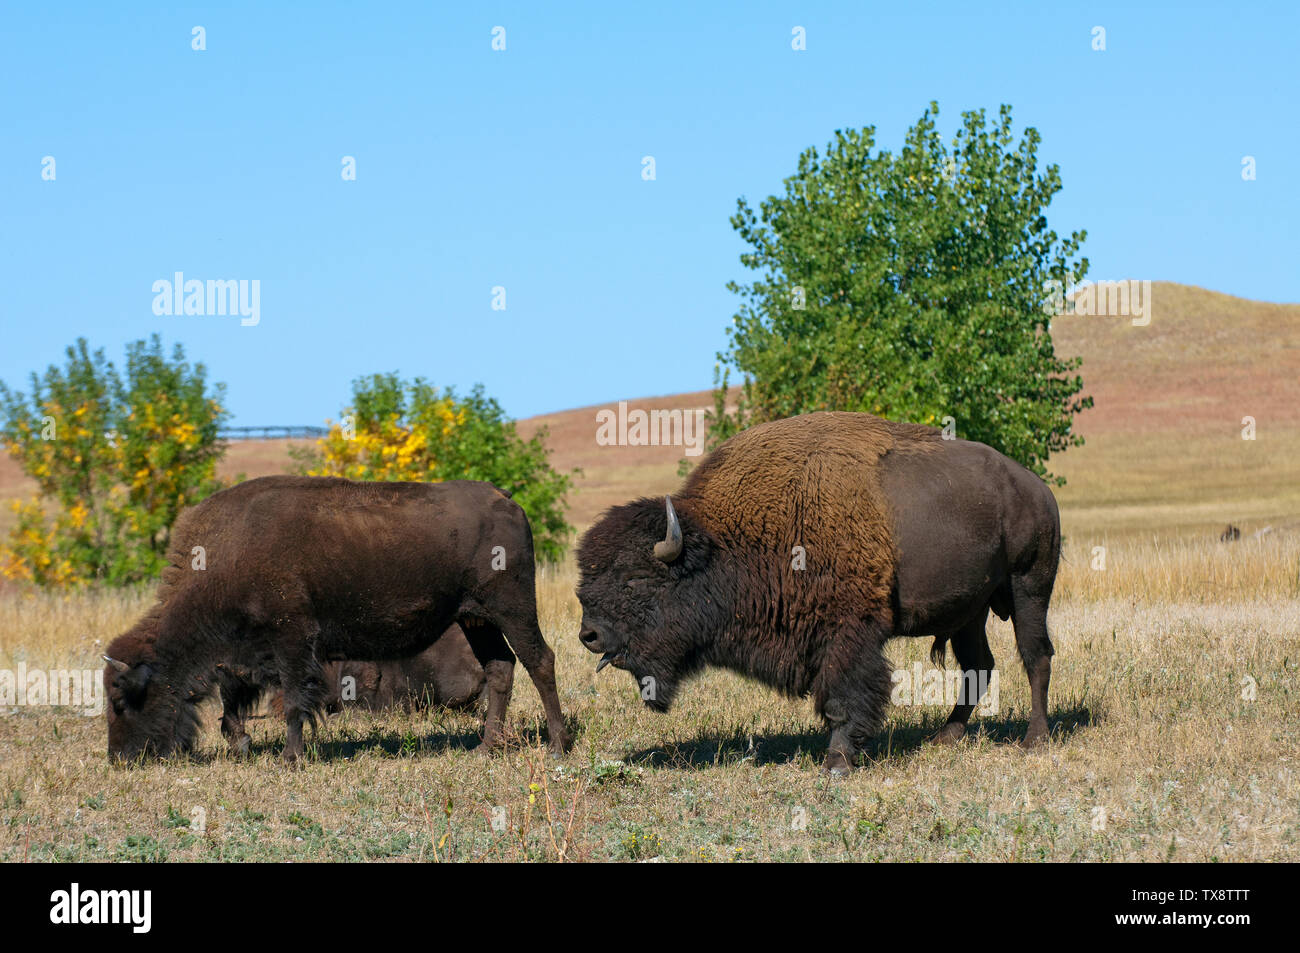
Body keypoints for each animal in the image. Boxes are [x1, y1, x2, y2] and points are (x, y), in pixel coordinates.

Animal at [103, 475, 570, 762]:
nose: (121, 759)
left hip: (512, 609)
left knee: (539, 661)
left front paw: (290, 757)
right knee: (500, 668)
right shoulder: (249, 654)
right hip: (477, 620)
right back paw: (486, 748)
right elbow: (235, 696)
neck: (228, 553)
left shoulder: (292, 639)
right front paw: (243, 743)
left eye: (122, 699)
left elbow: (293, 699)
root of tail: (504, 499)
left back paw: (558, 745)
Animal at [575, 411, 1060, 775]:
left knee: (1035, 655)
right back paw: (944, 737)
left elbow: (844, 695)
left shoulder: (848, 633)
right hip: (969, 612)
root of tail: (1037, 488)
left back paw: (1034, 740)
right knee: (978, 666)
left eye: (635, 579)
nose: (589, 635)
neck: (724, 542)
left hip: (1028, 587)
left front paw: (837, 761)